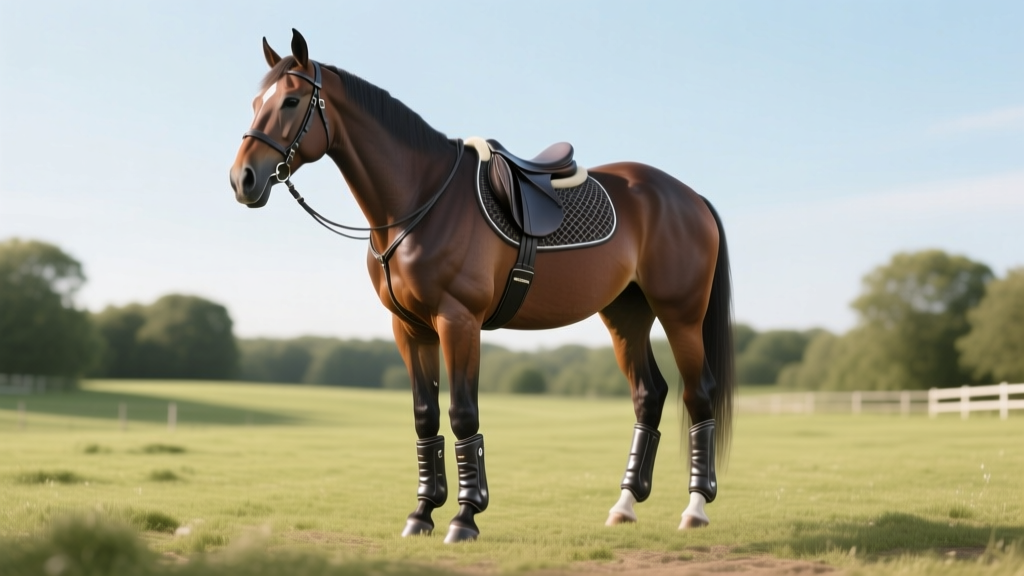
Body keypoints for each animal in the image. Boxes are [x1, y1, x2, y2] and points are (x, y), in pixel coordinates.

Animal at [230, 29, 735, 543]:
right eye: (256, 101)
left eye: (291, 100)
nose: (242, 178)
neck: (420, 200)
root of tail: (688, 195)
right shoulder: (410, 329)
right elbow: (426, 418)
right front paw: (421, 513)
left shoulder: (458, 322)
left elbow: (462, 415)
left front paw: (465, 517)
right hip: (626, 316)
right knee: (648, 396)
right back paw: (625, 505)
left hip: (681, 316)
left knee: (698, 395)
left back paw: (695, 509)